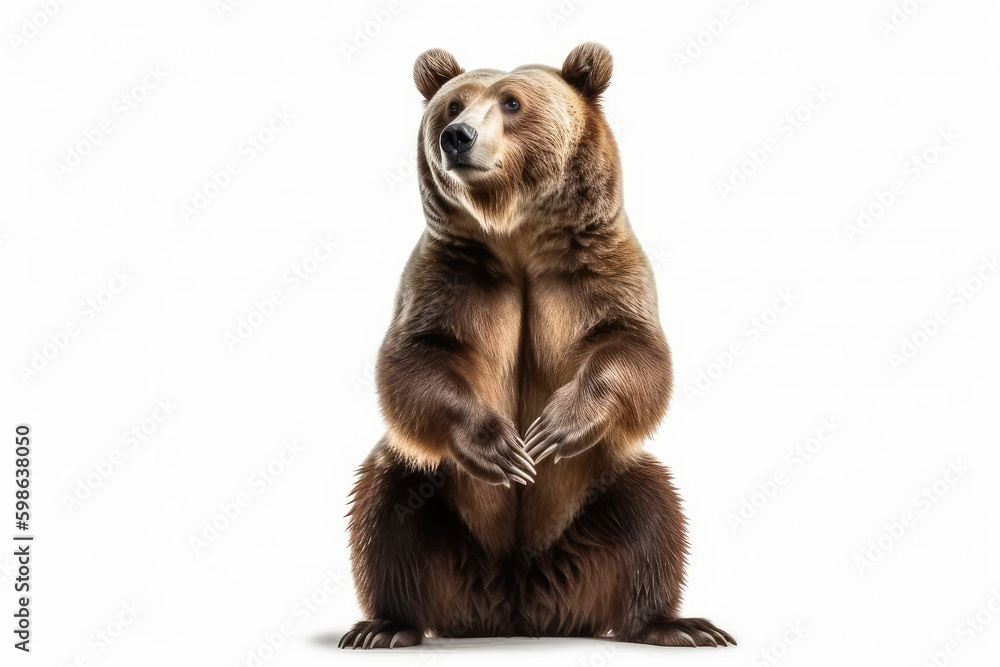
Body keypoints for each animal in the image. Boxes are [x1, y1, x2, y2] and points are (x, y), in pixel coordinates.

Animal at [339, 43, 735, 650]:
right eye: (453, 103)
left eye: (511, 102)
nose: (457, 135)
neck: (516, 237)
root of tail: (517, 603)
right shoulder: (448, 274)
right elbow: (414, 359)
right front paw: (501, 447)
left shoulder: (599, 268)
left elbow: (636, 349)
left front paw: (554, 426)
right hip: (435, 496)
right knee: (385, 509)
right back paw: (385, 626)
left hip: (602, 489)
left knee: (654, 513)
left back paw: (676, 625)